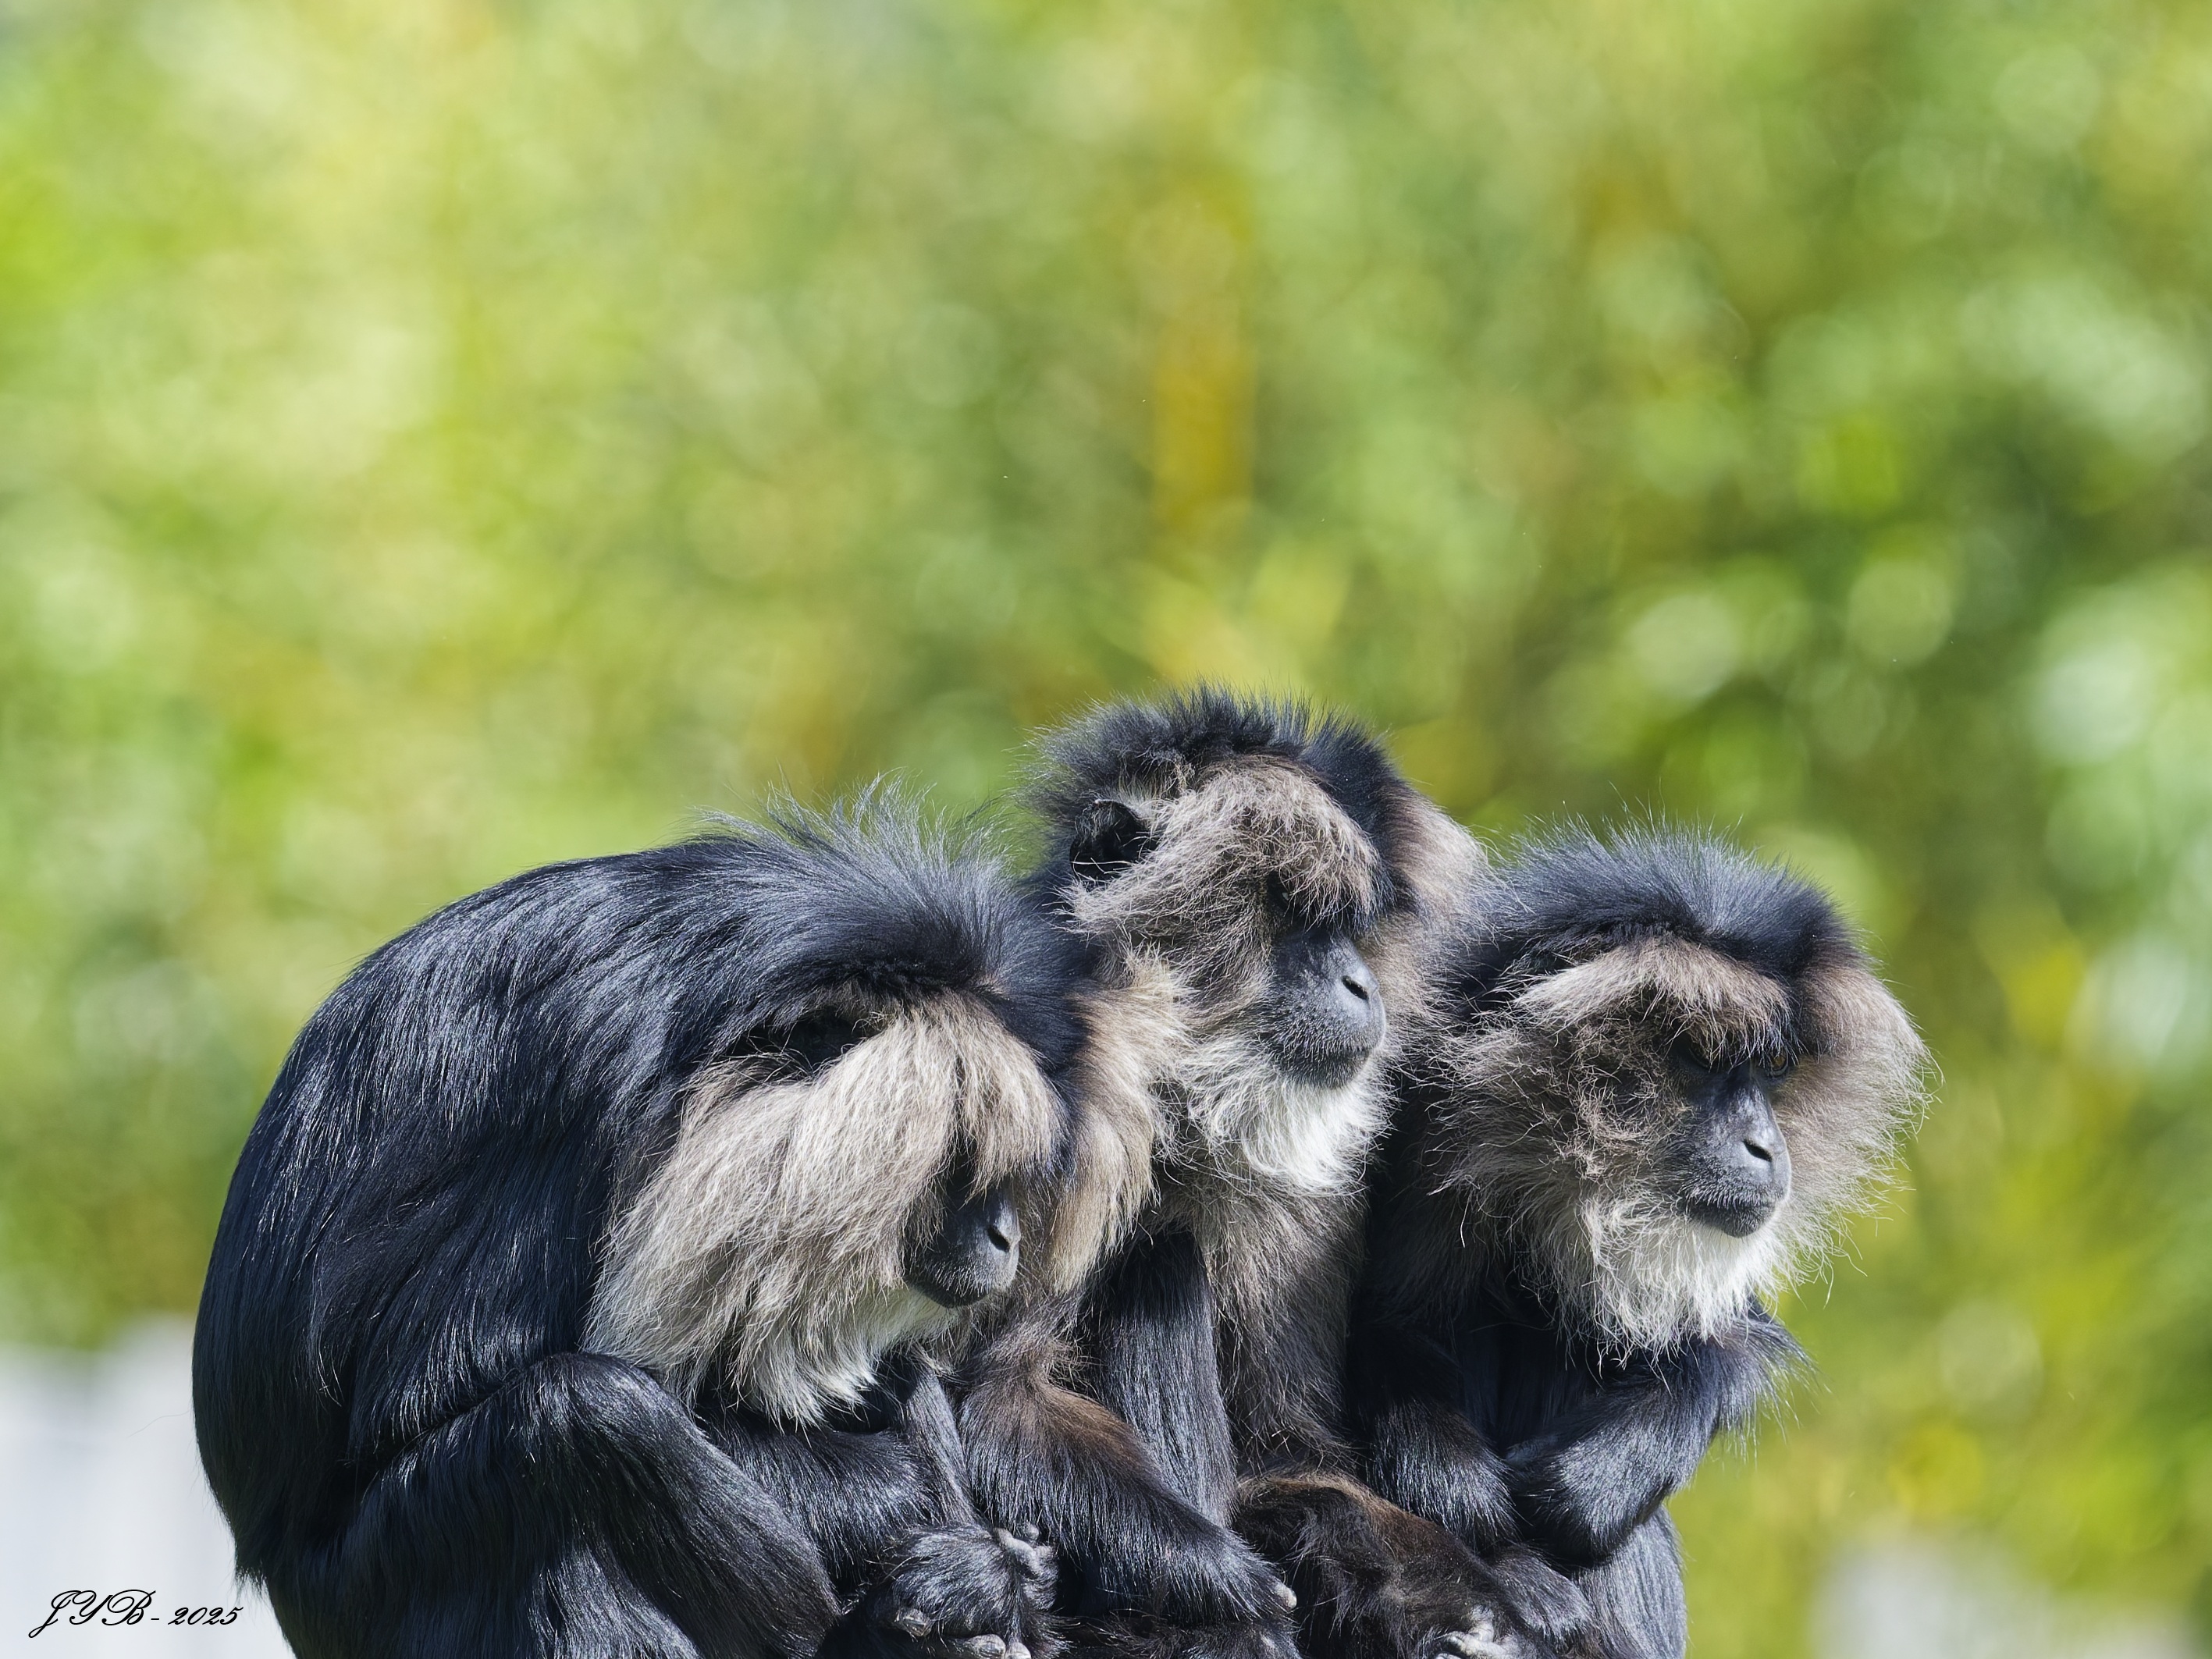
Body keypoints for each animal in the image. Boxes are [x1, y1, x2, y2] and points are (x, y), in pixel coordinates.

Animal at [193, 804, 1155, 1659]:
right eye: (963, 1161)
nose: (1003, 1237)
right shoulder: (579, 1079)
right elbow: (428, 1390)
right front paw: (934, 1532)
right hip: (370, 1583)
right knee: (577, 1413)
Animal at [954, 690, 1528, 1659]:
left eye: (1351, 928)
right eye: (1296, 915)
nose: (1361, 983)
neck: (1180, 1109)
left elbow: (1290, 1460)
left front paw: (1449, 1599)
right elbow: (1000, 1404)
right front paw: (1227, 1581)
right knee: (1159, 1260)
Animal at [1337, 828, 1927, 1659]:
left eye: (1774, 1068)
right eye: (1701, 1058)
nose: (1765, 1146)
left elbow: (1729, 1347)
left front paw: (1600, 1480)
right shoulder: (1421, 1142)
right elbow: (1391, 1327)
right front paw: (1469, 1509)